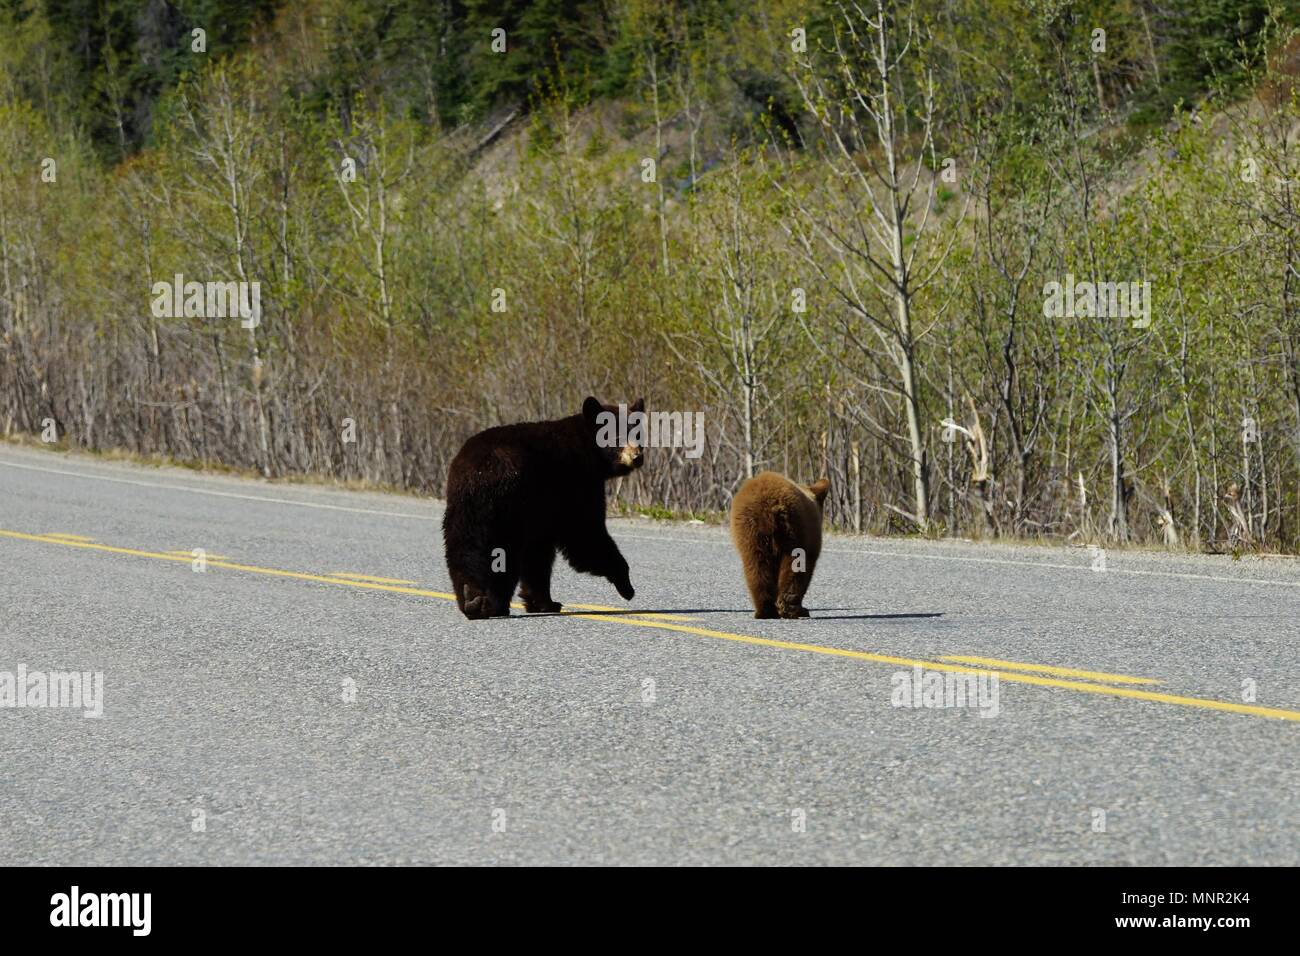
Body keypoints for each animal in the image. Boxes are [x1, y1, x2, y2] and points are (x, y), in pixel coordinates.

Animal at [443, 396, 645, 619]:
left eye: (638, 434)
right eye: (617, 436)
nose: (637, 457)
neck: (587, 448)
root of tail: (480, 472)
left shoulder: (542, 511)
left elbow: (538, 554)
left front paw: (544, 602)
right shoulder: (574, 484)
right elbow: (584, 534)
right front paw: (626, 586)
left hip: (465, 510)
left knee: (465, 550)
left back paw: (473, 600)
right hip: (505, 510)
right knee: (503, 555)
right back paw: (491, 604)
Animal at [729, 471, 830, 619]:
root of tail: (769, 507)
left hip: (750, 533)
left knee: (756, 567)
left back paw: (765, 611)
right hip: (794, 531)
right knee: (795, 565)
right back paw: (791, 609)